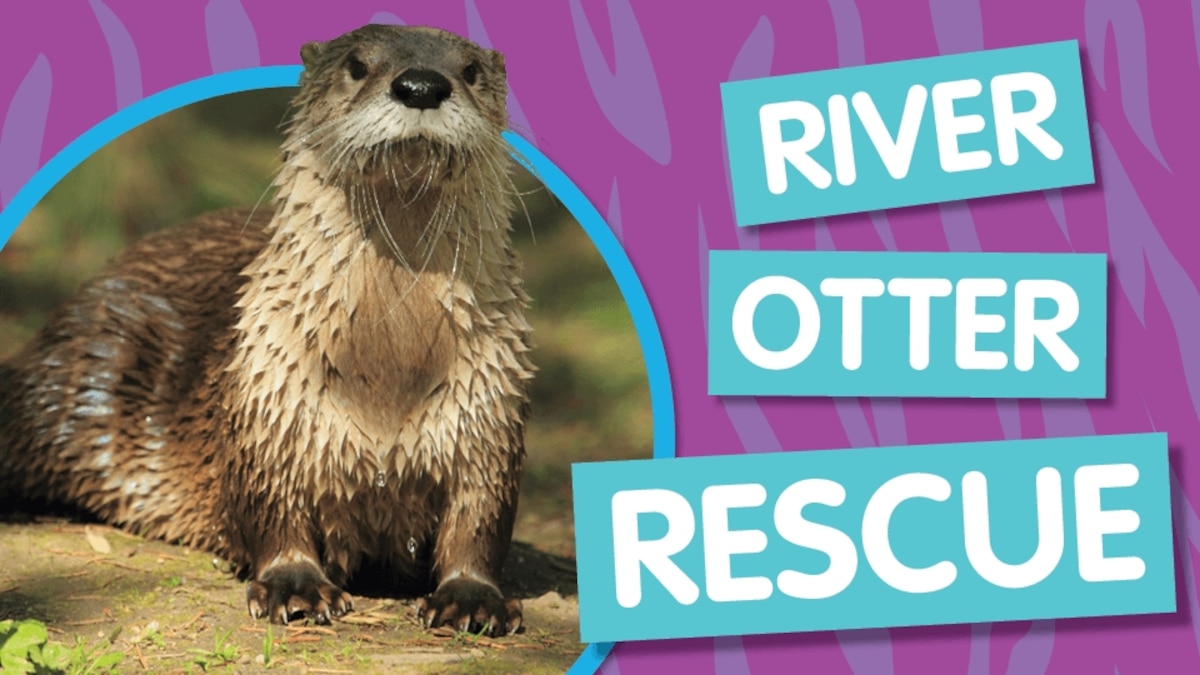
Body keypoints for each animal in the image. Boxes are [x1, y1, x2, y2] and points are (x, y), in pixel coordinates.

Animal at [0, 24, 534, 636]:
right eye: (357, 65)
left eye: (470, 71)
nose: (421, 85)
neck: (386, 373)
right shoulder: (267, 392)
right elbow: (270, 506)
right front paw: (295, 587)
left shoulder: (490, 405)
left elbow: (481, 516)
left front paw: (472, 598)